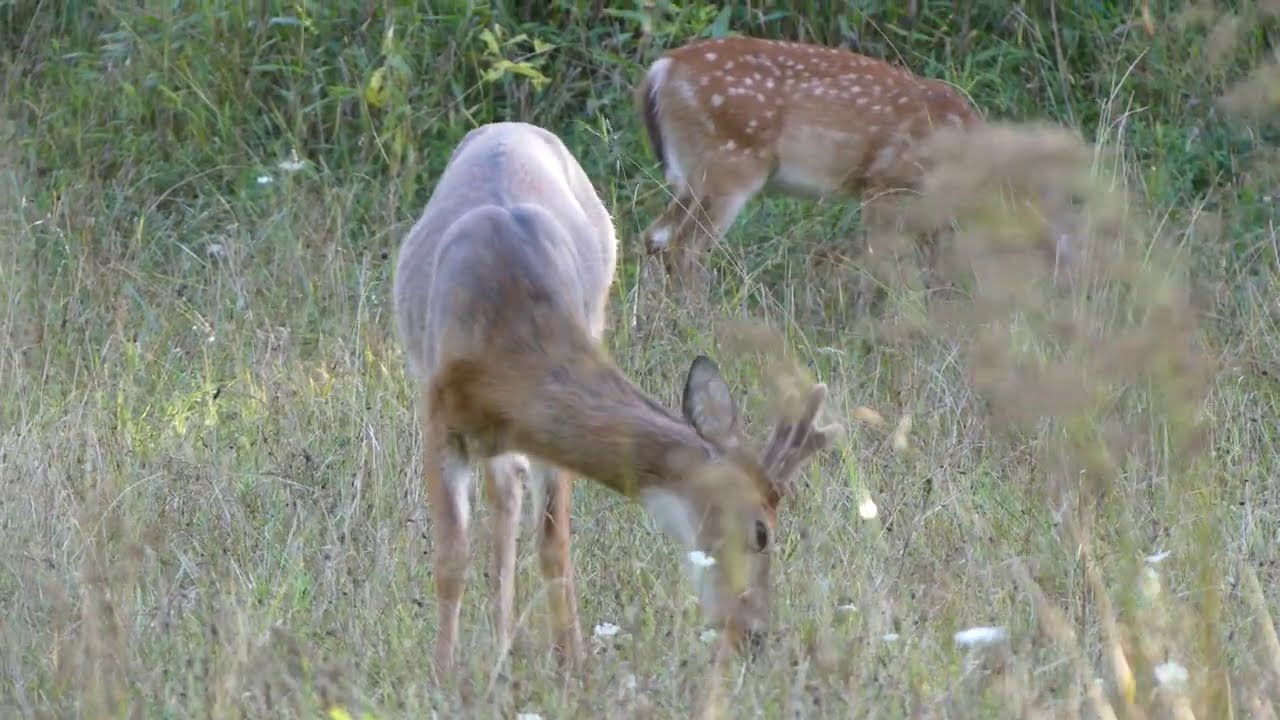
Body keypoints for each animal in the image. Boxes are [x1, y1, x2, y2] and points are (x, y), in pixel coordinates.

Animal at [392, 121, 842, 678]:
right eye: (762, 532)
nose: (755, 632)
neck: (508, 345)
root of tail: (511, 125)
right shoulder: (438, 418)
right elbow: (450, 559)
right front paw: (443, 672)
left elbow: (554, 543)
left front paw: (570, 661)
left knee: (508, 498)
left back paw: (504, 642)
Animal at [635, 35, 1079, 301]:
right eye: (1043, 256)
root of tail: (662, 69)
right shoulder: (884, 185)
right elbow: (885, 272)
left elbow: (930, 273)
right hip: (730, 165)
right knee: (685, 246)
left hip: (693, 175)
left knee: (655, 236)